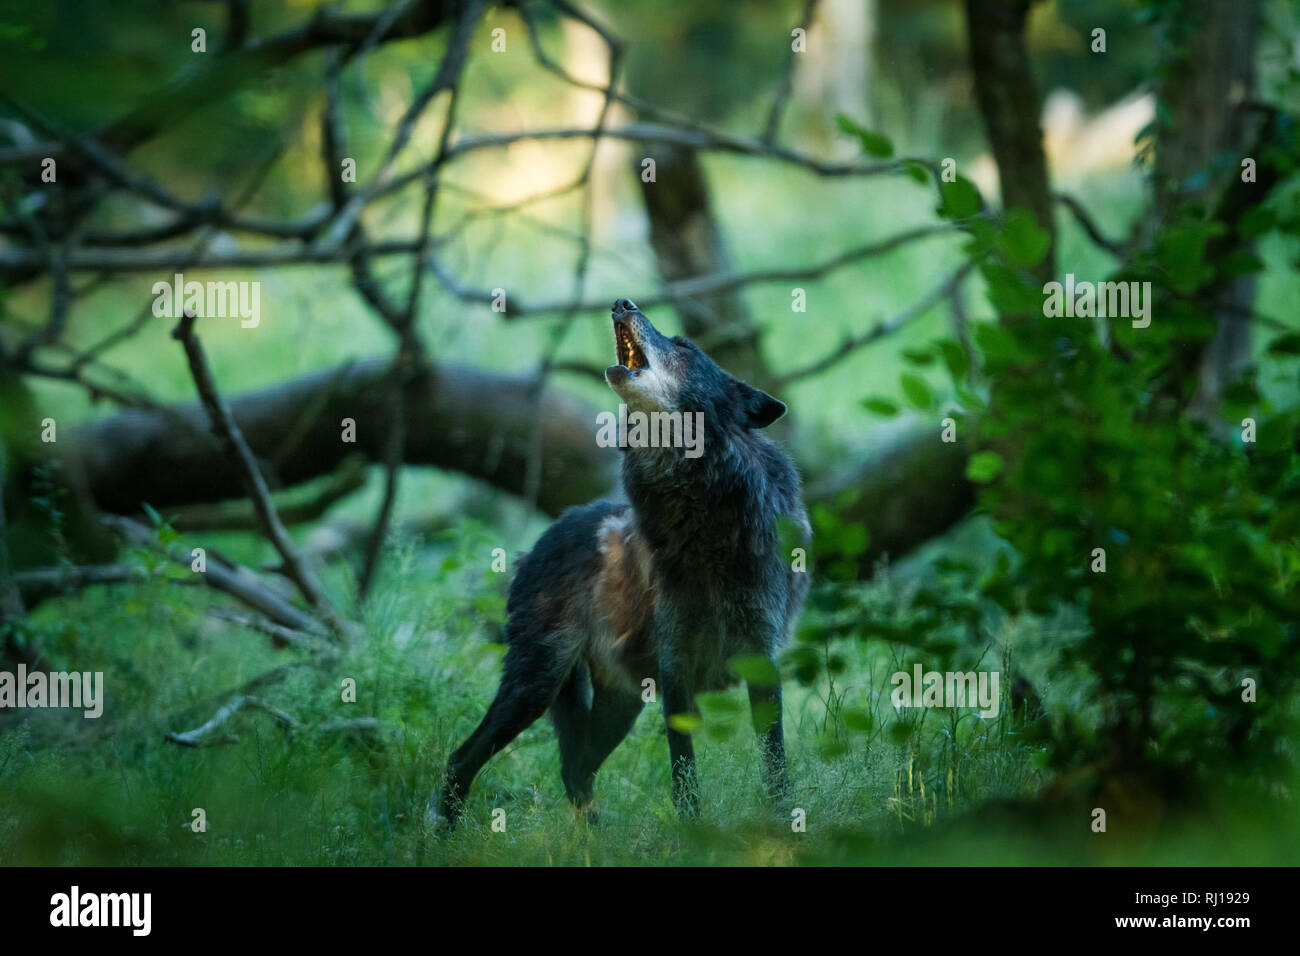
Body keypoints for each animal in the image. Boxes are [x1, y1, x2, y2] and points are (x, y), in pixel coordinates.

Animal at [431, 298, 810, 827]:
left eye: (684, 346)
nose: (622, 303)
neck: (704, 519)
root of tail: (543, 538)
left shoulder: (760, 658)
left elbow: (775, 762)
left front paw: (781, 822)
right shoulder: (675, 665)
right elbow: (684, 772)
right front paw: (693, 831)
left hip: (619, 704)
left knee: (575, 771)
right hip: (537, 684)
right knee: (465, 758)